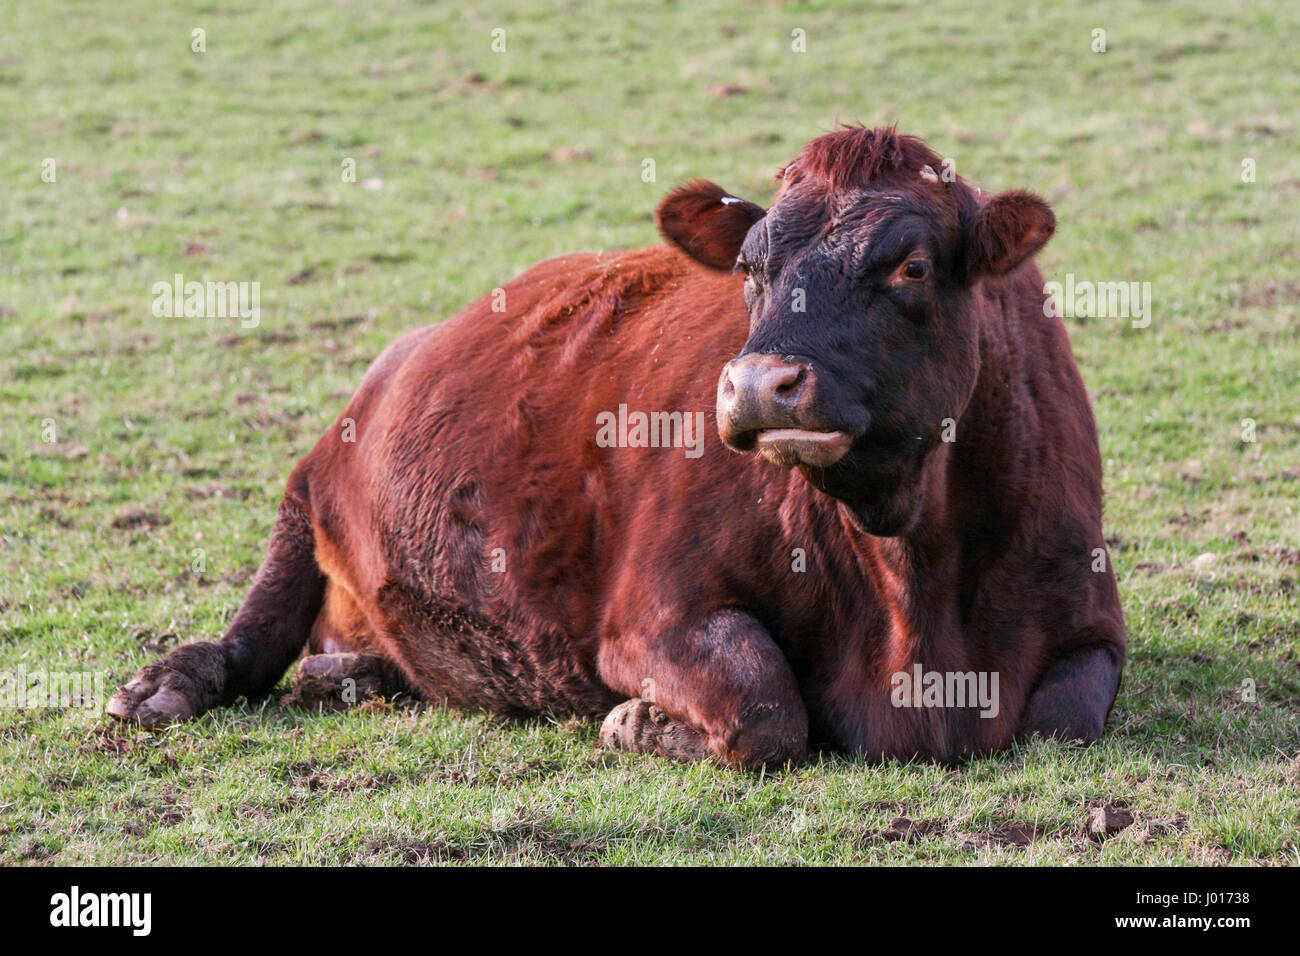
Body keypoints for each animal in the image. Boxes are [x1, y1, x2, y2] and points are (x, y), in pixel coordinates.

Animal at [108, 126, 1127, 770]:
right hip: (307, 483)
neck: (910, 574)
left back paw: (348, 675)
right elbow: (766, 711)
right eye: (752, 267)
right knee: (260, 619)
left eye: (912, 265)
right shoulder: (651, 613)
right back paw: (170, 683)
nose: (758, 384)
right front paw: (639, 724)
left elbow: (1064, 721)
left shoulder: (1088, 618)